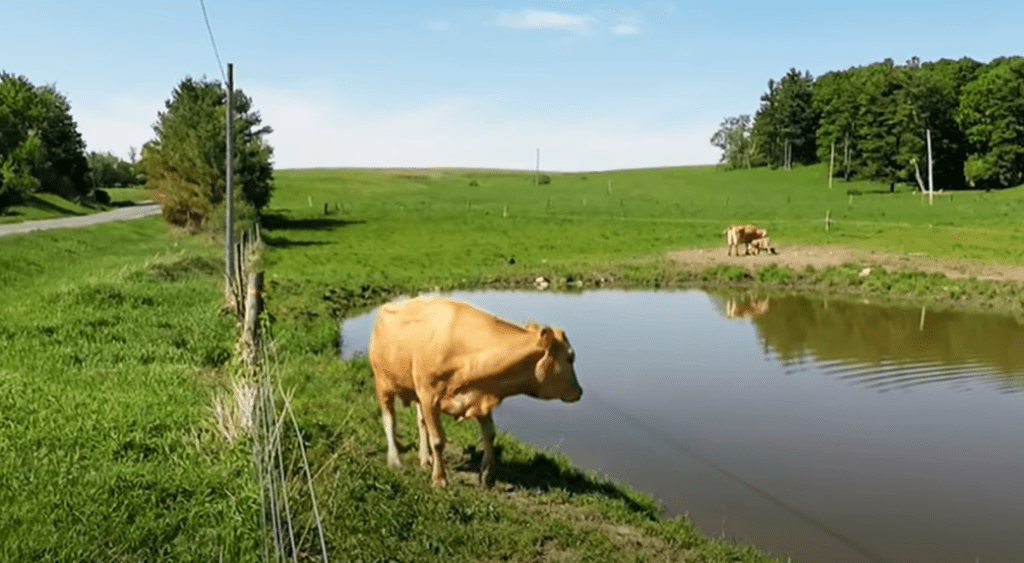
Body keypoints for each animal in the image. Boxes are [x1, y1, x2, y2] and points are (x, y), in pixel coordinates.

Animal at [368, 296, 582, 488]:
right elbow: (437, 440)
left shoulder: (481, 396)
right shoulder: (429, 395)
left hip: (414, 391)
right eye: (570, 358)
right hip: (382, 382)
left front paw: (487, 476)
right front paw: (439, 479)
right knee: (389, 420)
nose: (580, 391)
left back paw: (424, 458)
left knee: (420, 423)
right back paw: (395, 460)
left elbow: (489, 434)